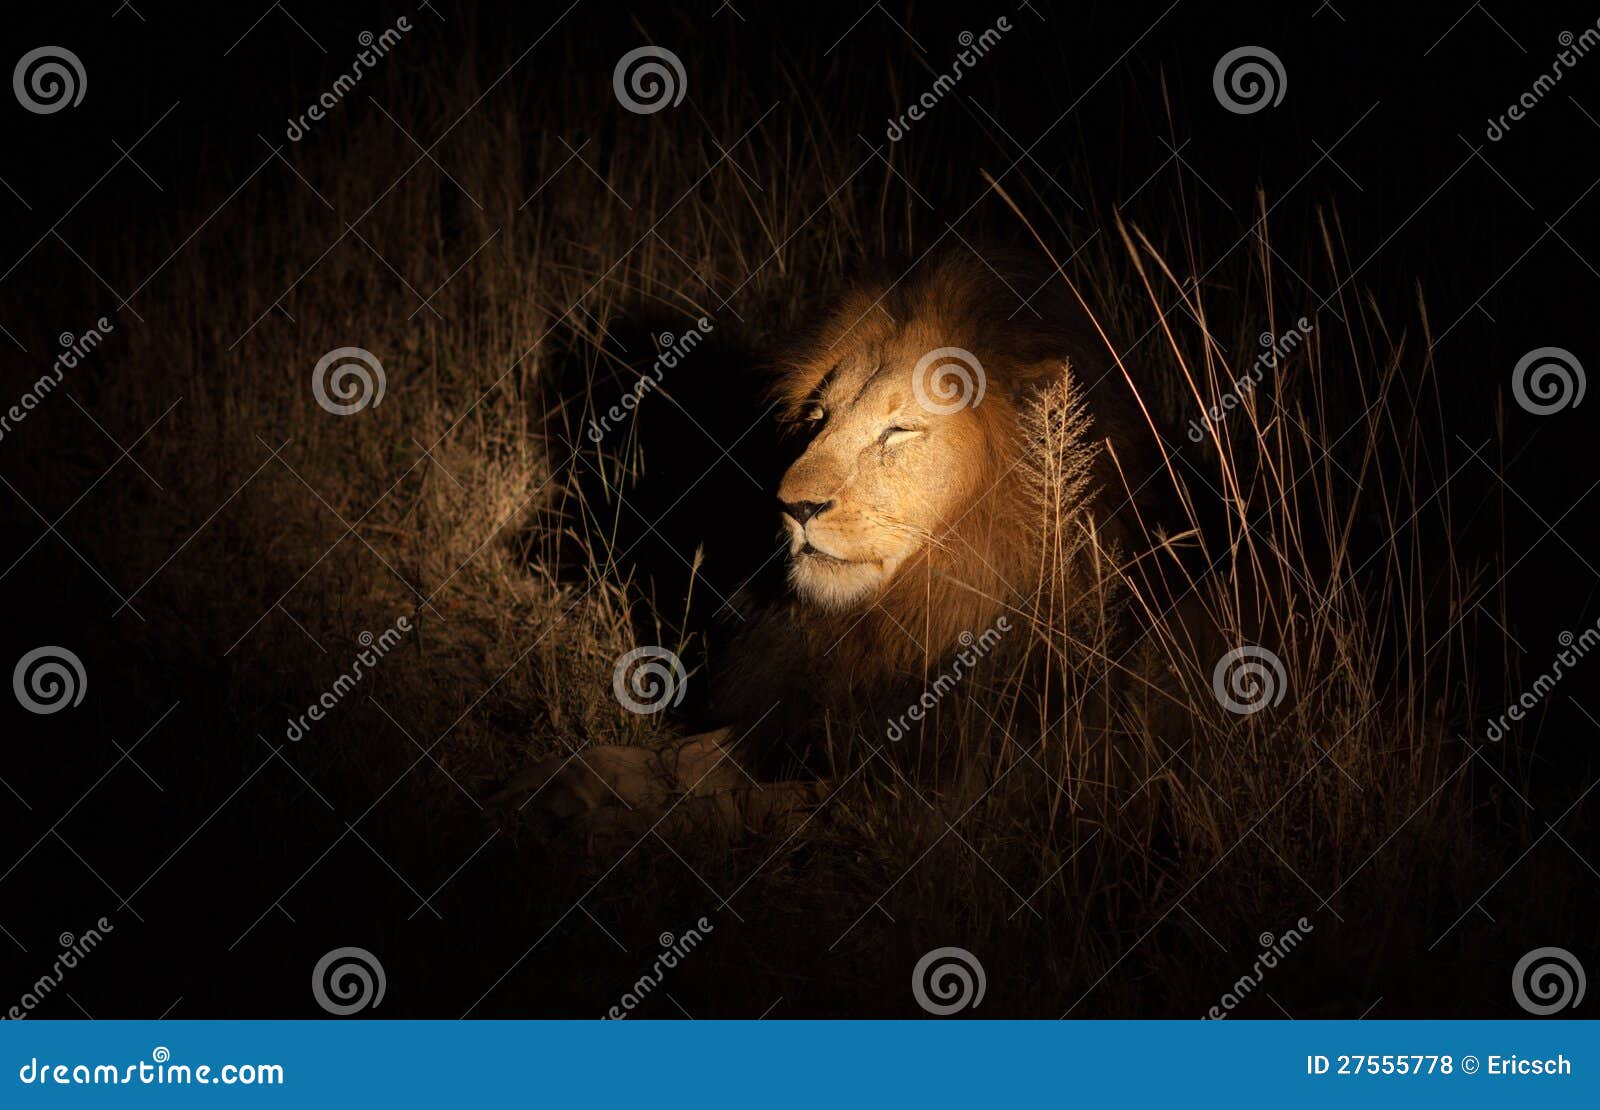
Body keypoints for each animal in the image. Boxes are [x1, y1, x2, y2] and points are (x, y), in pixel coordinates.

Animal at [494, 249, 1153, 848]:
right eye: (817, 419)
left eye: (899, 431)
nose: (794, 507)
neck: (902, 616)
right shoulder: (800, 715)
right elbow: (666, 762)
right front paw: (541, 785)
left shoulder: (936, 803)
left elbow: (723, 809)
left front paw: (595, 834)